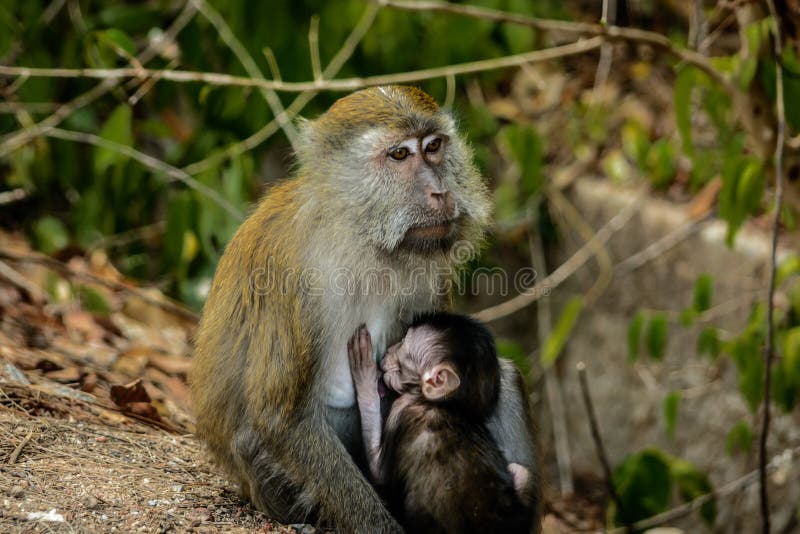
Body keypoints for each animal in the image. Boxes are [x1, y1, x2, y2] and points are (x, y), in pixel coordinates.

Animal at [347, 313, 537, 534]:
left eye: (403, 345)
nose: (389, 350)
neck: (447, 406)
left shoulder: (402, 408)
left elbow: (377, 471)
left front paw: (365, 373)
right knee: (523, 472)